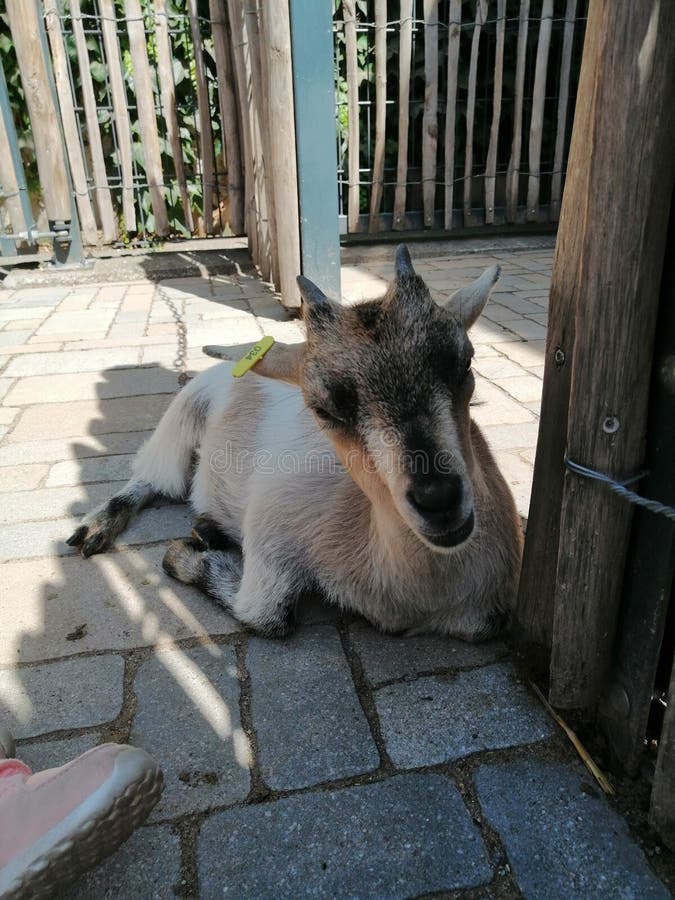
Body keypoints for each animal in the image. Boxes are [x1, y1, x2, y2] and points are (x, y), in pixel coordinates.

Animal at [68, 246, 522, 640]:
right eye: (322, 408)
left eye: (464, 364)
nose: (438, 498)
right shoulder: (271, 530)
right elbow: (266, 615)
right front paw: (181, 555)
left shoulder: (487, 613)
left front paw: (202, 541)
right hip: (184, 411)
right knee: (152, 477)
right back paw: (97, 527)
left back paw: (208, 528)